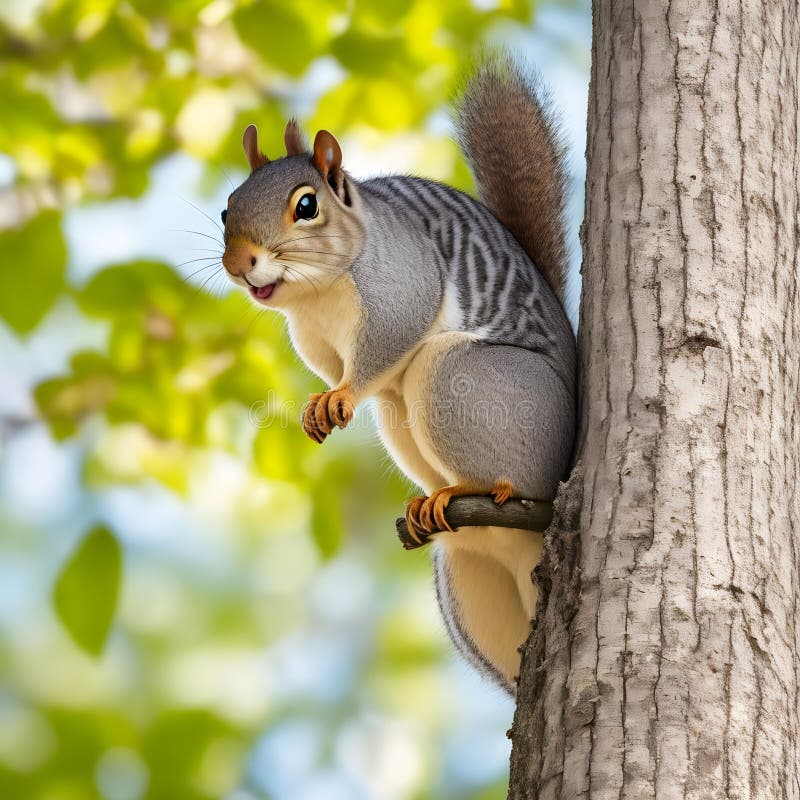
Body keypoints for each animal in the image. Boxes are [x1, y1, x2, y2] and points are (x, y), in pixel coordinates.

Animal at [220, 55, 576, 694]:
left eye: (306, 206)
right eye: (225, 208)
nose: (238, 265)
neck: (317, 295)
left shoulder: (401, 285)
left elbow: (384, 345)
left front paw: (340, 395)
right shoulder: (312, 336)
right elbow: (341, 368)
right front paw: (324, 398)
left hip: (462, 378)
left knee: (515, 474)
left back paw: (474, 488)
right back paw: (431, 502)